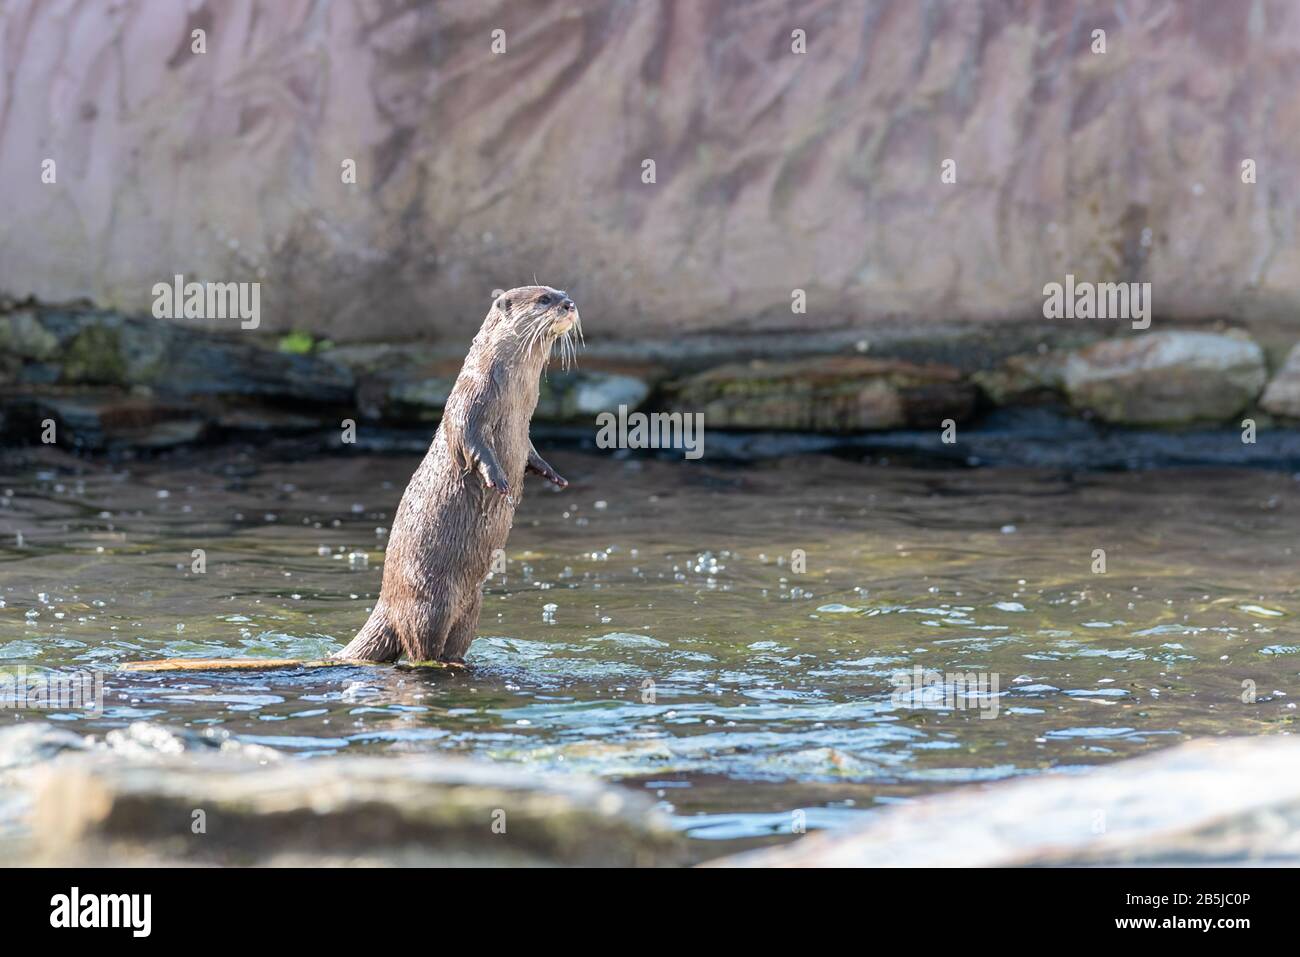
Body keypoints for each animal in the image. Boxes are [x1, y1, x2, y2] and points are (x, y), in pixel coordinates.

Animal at [335, 285, 581, 664]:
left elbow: (532, 455)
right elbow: (469, 439)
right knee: (421, 645)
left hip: (472, 608)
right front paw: (498, 479)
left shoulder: (525, 435)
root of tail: (386, 601)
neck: (515, 400)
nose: (569, 304)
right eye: (543, 299)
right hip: (430, 602)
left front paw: (554, 476)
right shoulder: (469, 400)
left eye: (562, 292)